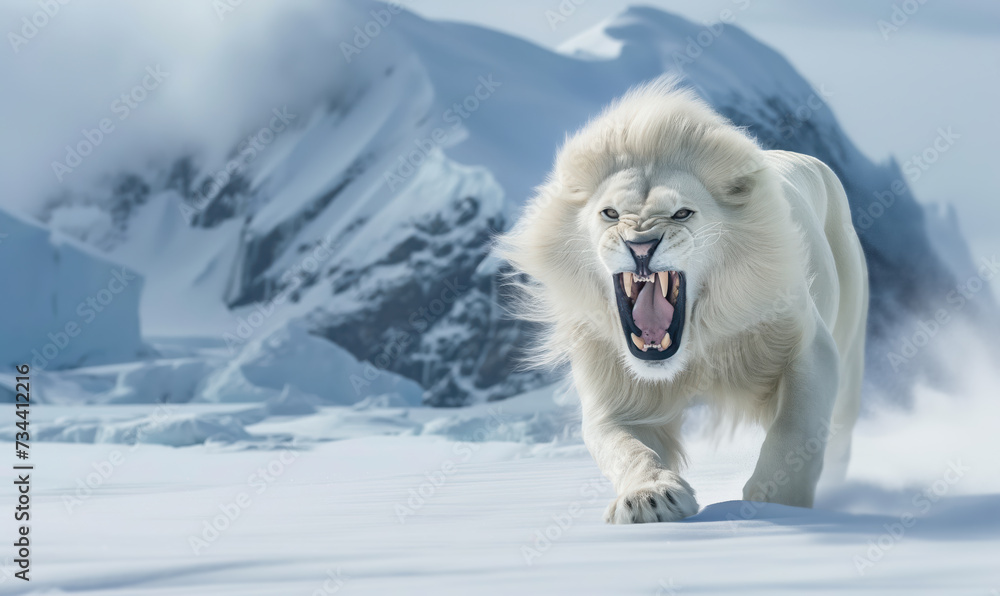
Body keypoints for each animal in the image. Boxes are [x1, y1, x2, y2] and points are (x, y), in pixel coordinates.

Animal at [500, 80, 869, 523]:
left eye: (681, 213)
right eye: (610, 213)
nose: (640, 245)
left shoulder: (807, 346)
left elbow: (796, 431)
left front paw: (774, 502)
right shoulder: (612, 391)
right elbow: (625, 448)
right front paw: (651, 498)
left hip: (850, 345)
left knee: (841, 428)